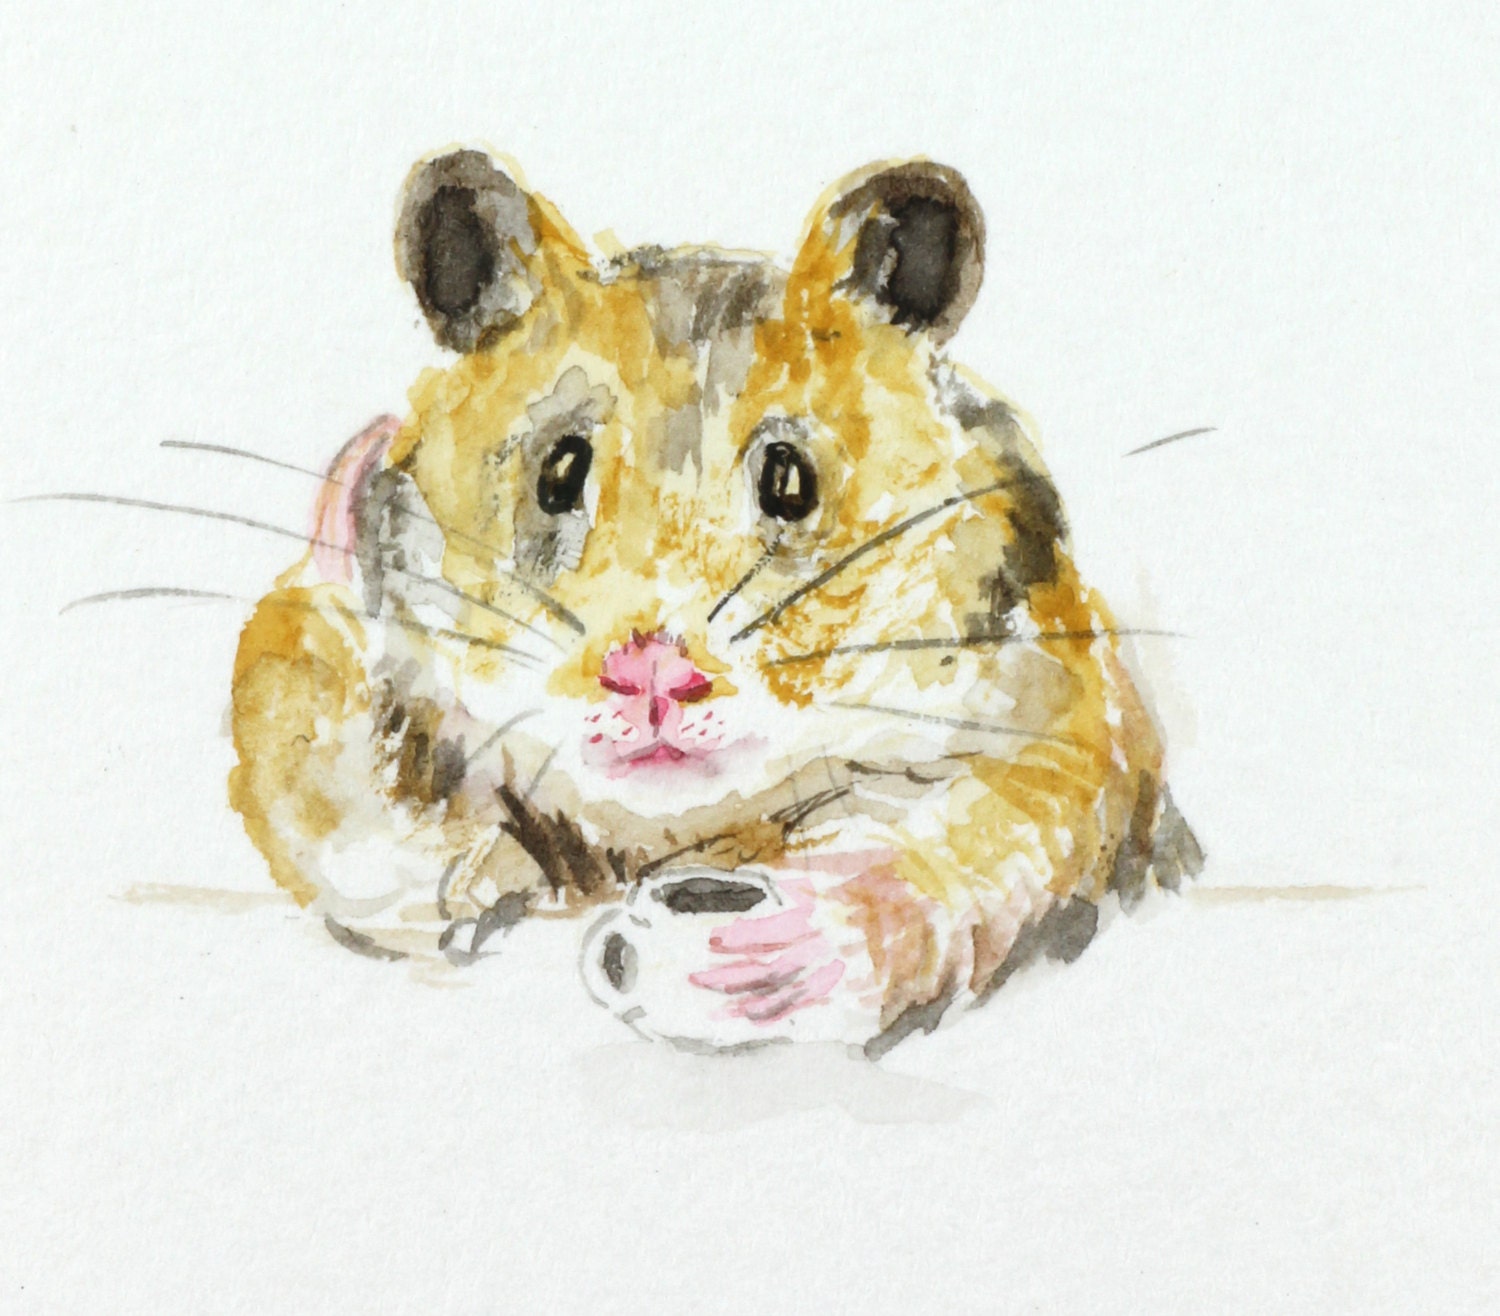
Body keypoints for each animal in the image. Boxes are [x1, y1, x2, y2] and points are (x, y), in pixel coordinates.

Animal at [228, 147, 1201, 1054]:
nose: (649, 677)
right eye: (558, 473)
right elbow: (330, 789)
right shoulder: (296, 683)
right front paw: (474, 880)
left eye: (790, 481)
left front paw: (729, 957)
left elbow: (977, 837)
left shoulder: (1070, 716)